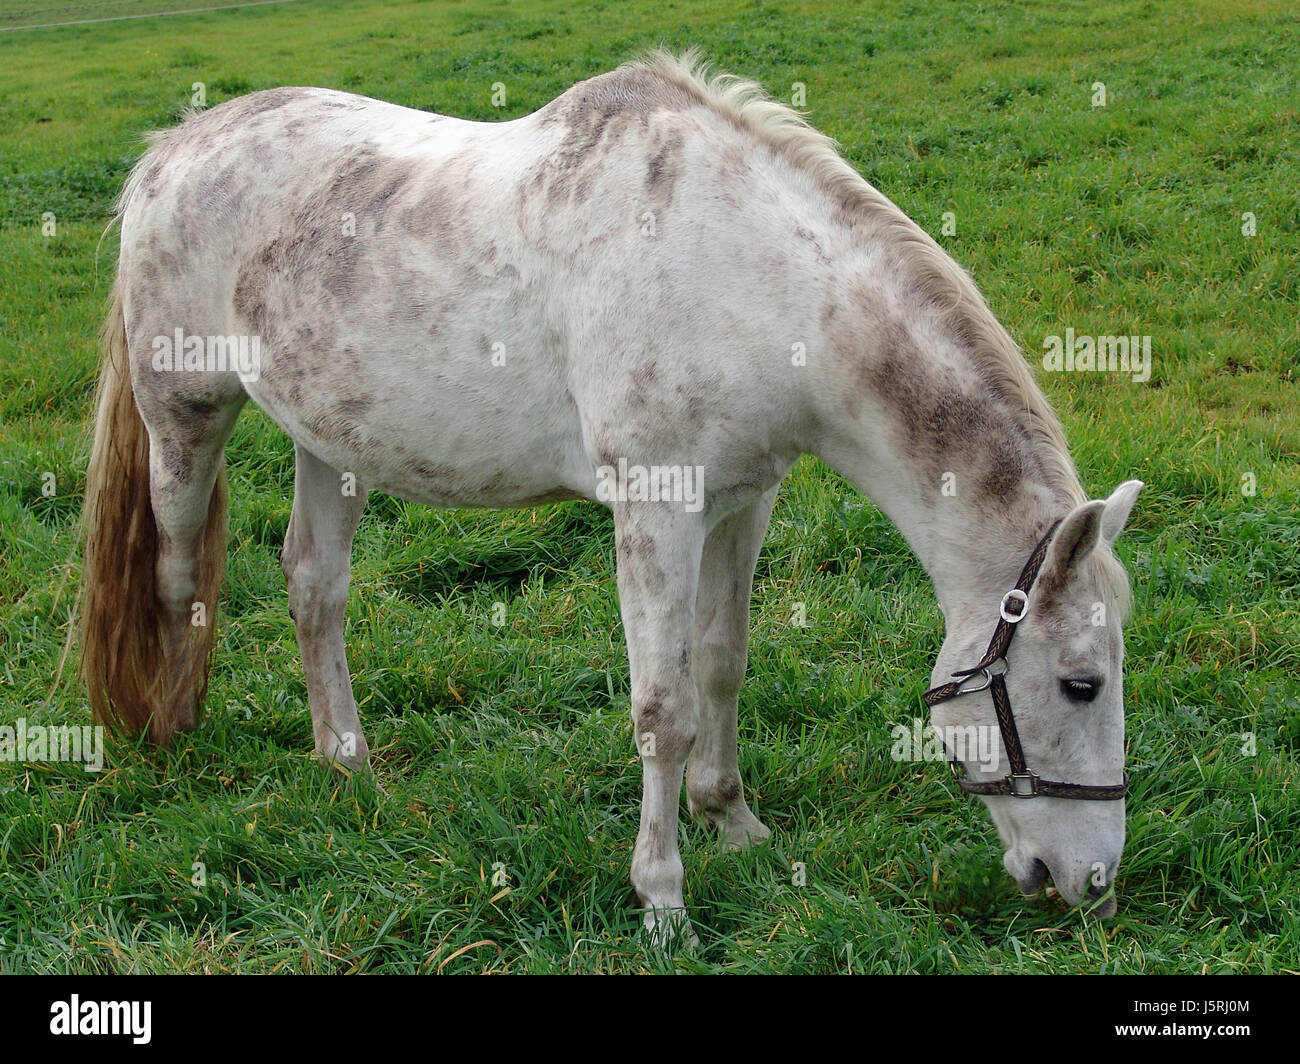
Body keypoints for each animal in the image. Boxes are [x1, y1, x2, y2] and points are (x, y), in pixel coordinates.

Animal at [80, 49, 1143, 945]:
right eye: (1080, 684)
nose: (1093, 884)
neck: (747, 275)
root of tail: (176, 148)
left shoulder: (741, 502)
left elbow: (721, 664)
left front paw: (733, 822)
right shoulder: (656, 509)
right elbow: (662, 706)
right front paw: (663, 899)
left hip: (328, 441)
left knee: (313, 588)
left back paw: (346, 763)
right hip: (186, 416)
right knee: (177, 577)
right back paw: (174, 732)